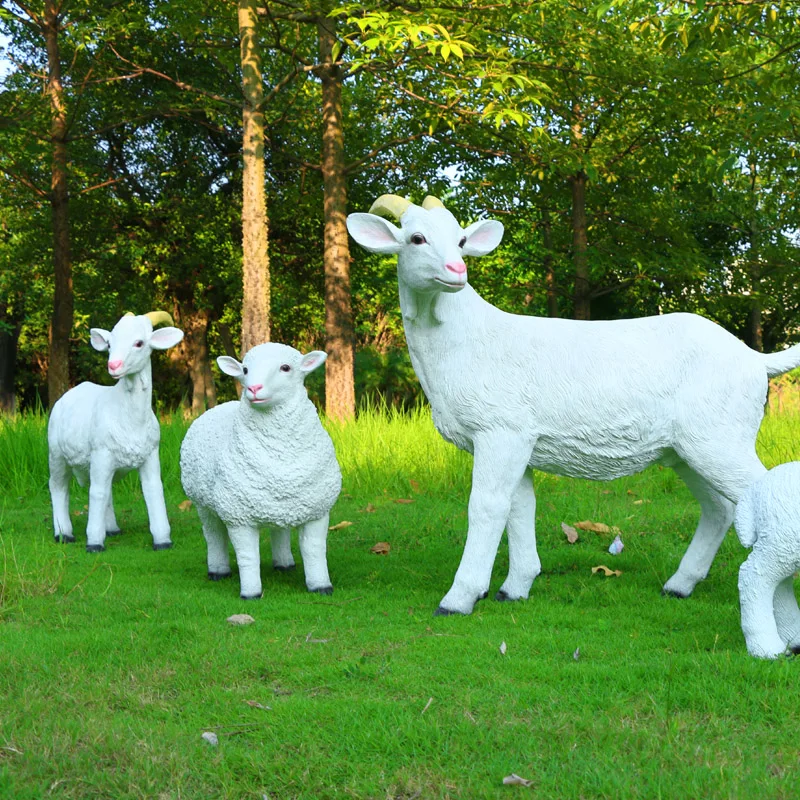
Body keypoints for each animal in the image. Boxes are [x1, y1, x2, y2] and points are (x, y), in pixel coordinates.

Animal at [48, 311, 184, 552]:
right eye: (110, 344)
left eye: (139, 343)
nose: (113, 365)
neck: (130, 418)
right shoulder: (101, 452)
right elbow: (97, 493)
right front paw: (94, 543)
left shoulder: (150, 454)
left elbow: (153, 490)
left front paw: (163, 540)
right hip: (56, 453)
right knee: (59, 487)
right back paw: (64, 533)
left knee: (106, 489)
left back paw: (111, 528)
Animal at [179, 343, 341, 599]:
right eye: (245, 369)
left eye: (286, 367)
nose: (253, 388)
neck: (281, 460)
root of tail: (220, 406)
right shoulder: (238, 517)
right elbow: (248, 556)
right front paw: (251, 593)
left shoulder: (317, 512)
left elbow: (314, 550)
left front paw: (321, 586)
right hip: (202, 502)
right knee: (213, 535)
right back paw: (218, 570)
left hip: (282, 504)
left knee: (280, 531)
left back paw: (284, 563)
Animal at [346, 194, 800, 616]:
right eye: (416, 238)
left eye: (460, 240)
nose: (458, 271)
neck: (466, 340)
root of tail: (755, 359)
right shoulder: (521, 439)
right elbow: (519, 507)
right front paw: (514, 588)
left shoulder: (500, 430)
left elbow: (487, 506)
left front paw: (459, 598)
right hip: (687, 448)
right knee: (720, 508)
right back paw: (679, 585)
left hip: (720, 435)